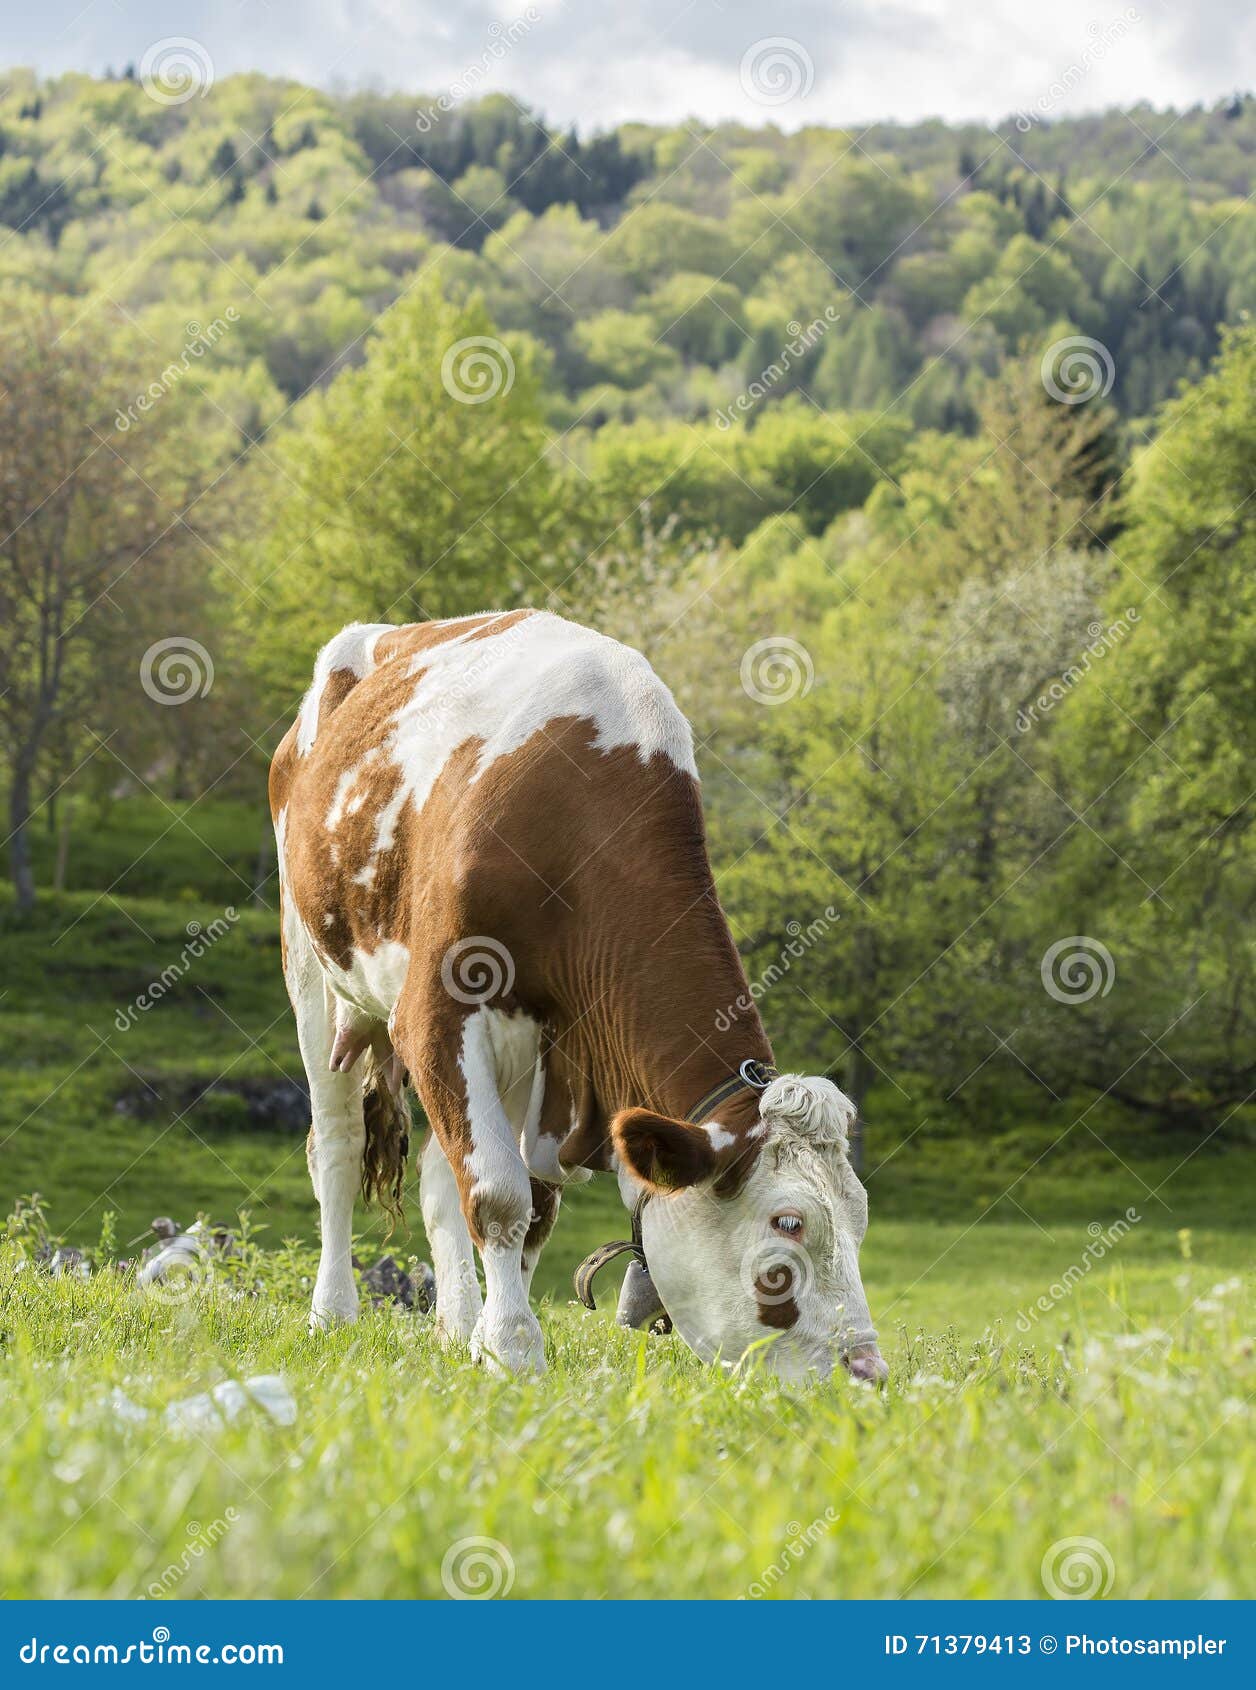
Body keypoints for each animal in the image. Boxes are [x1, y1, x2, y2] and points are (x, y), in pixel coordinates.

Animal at [268, 610, 886, 1384]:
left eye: (860, 1219)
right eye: (788, 1224)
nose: (869, 1370)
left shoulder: (555, 1058)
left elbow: (529, 1208)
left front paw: (487, 1341)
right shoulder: (437, 1013)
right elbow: (498, 1196)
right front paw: (513, 1349)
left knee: (440, 1180)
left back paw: (454, 1326)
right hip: (313, 968)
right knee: (340, 1146)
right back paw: (333, 1313)